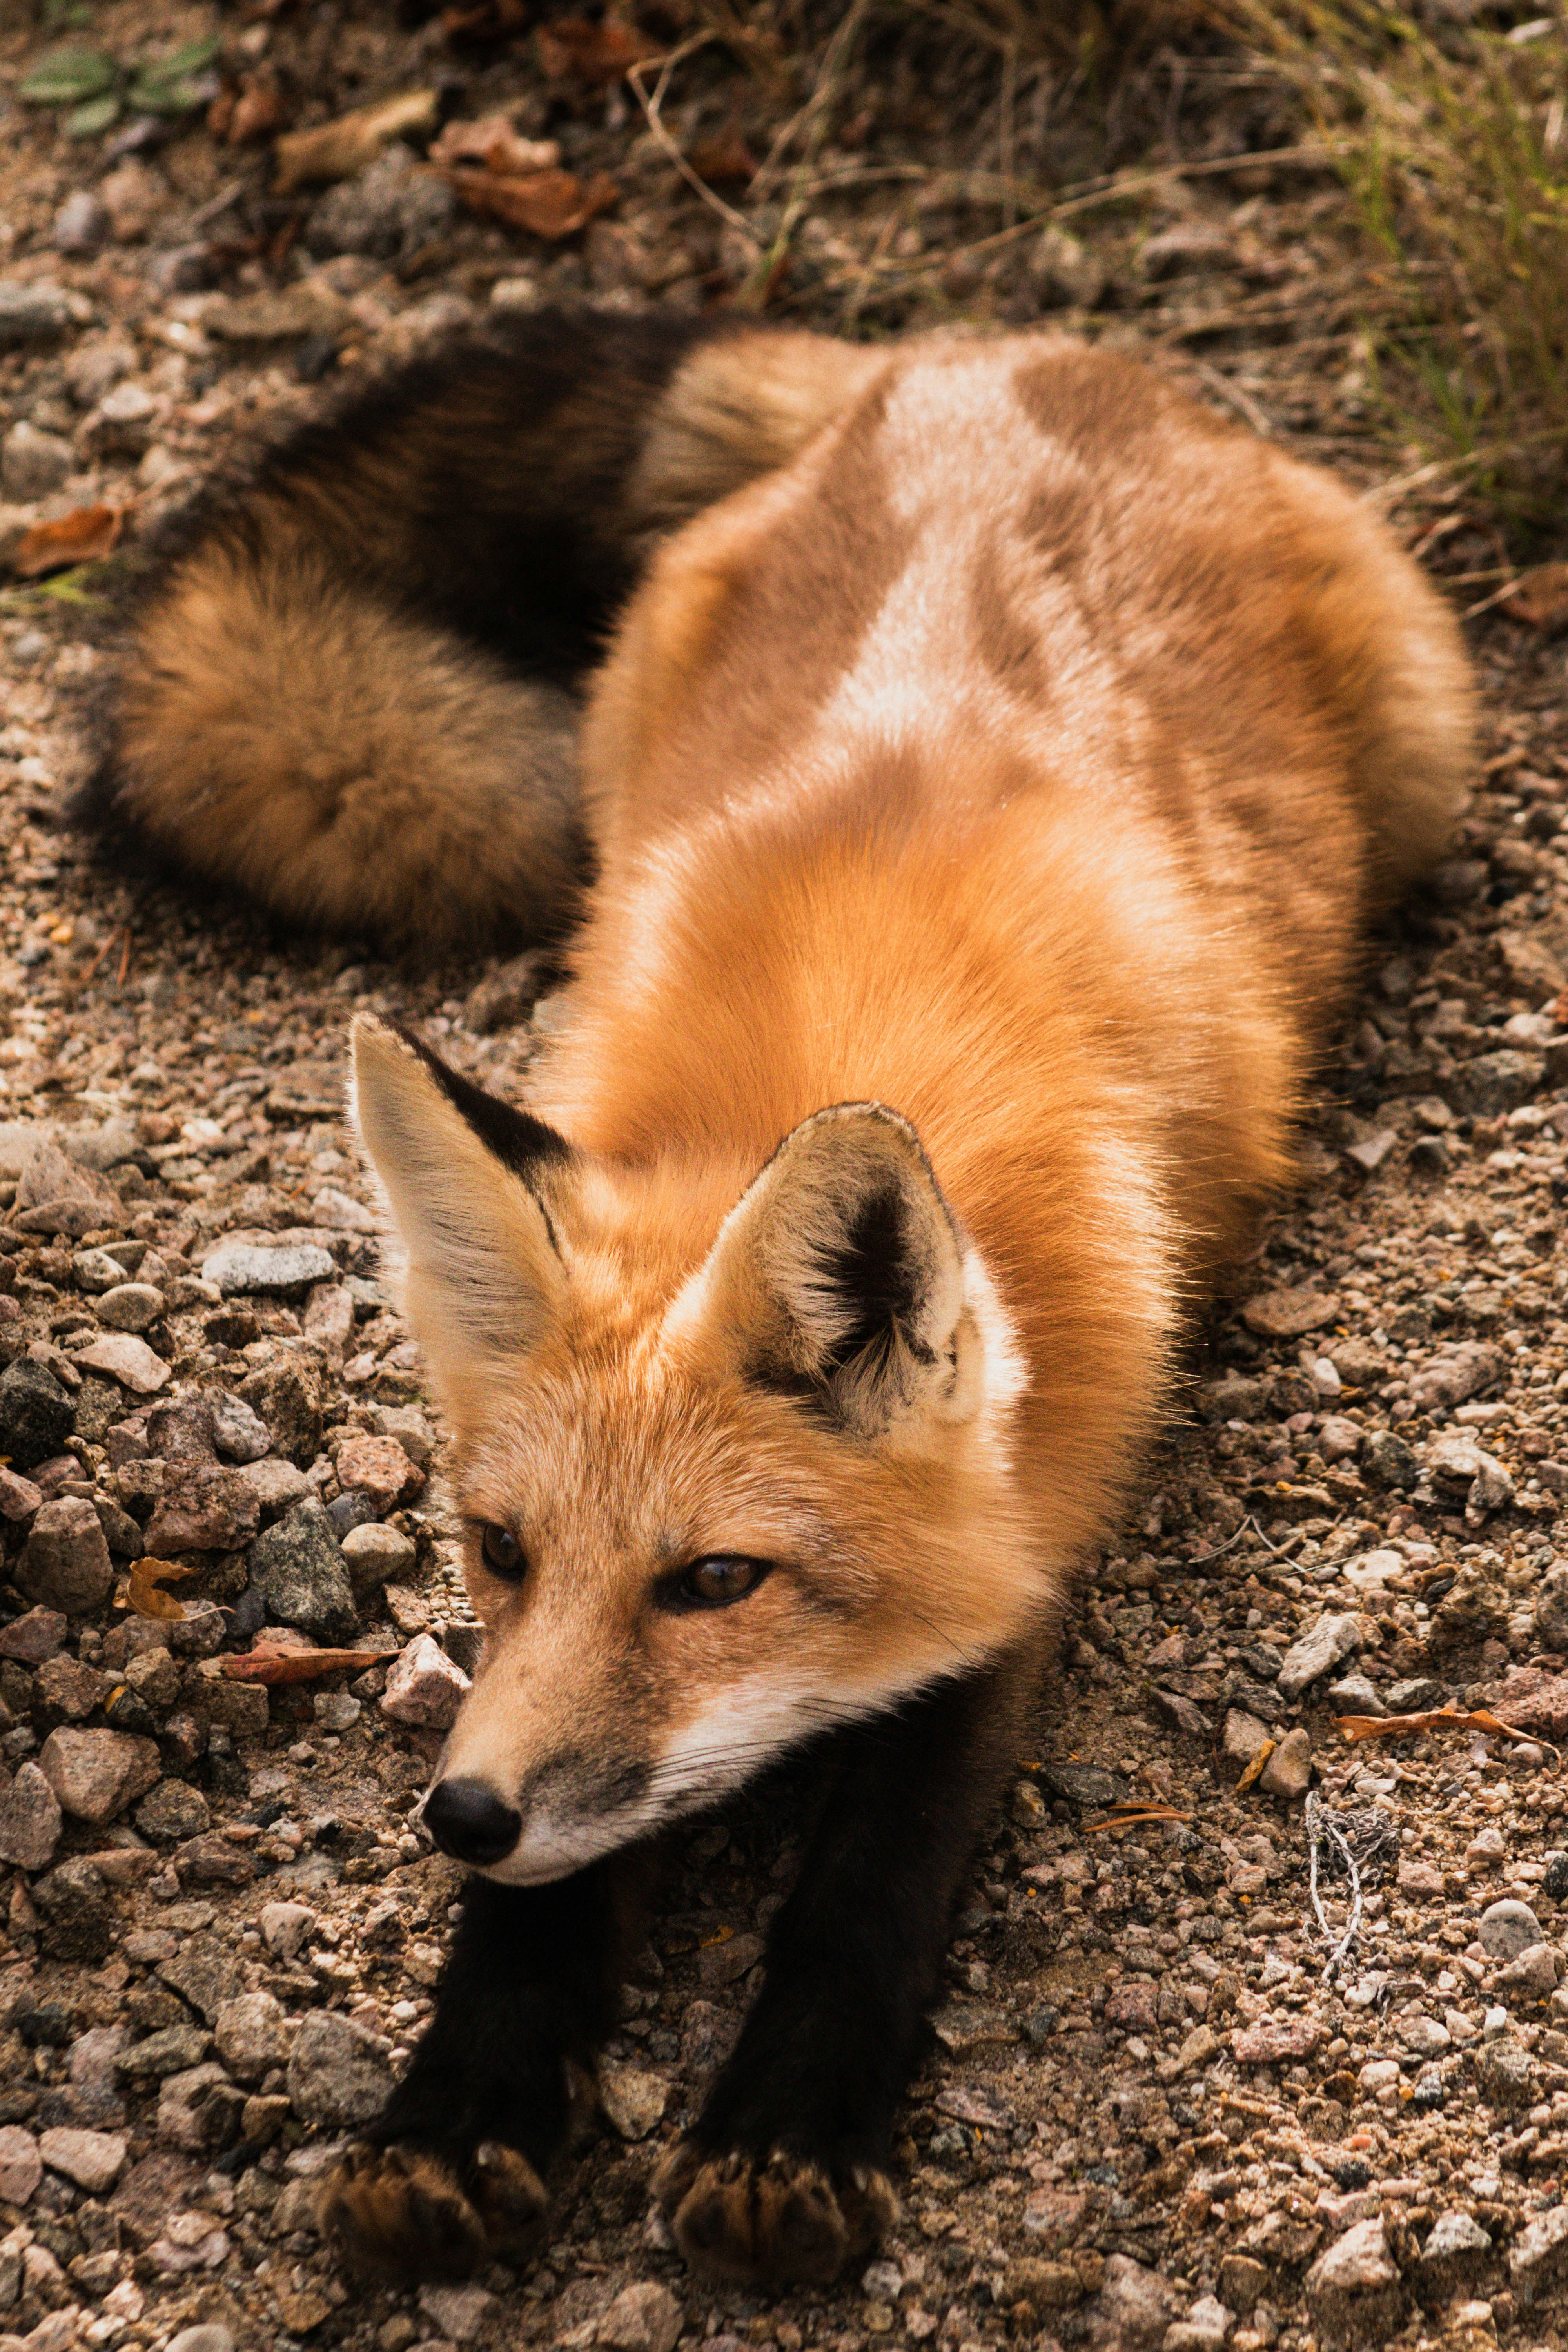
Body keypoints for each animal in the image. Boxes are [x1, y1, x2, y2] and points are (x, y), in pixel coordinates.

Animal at [85, 306, 1473, 2288]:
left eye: (717, 1583)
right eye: (496, 1552)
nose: (456, 1812)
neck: (832, 1031)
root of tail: (979, 355)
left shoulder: (1027, 1530)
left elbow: (869, 1875)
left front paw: (786, 2135)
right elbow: (555, 1880)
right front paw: (457, 2101)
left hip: (1432, 759)